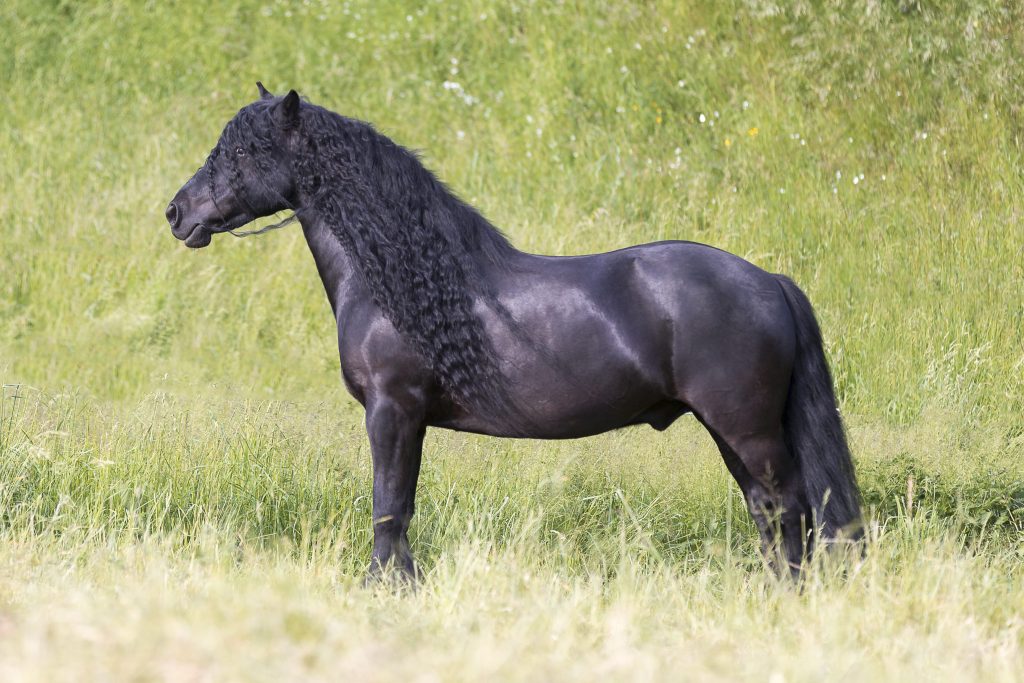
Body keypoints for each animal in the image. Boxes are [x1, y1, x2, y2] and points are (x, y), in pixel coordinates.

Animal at [166, 84, 862, 579]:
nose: (177, 213)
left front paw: (384, 589)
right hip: (733, 433)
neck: (404, 281)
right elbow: (399, 506)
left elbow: (391, 506)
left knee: (791, 510)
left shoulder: (393, 412)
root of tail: (768, 280)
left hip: (748, 430)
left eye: (241, 152)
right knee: (770, 514)